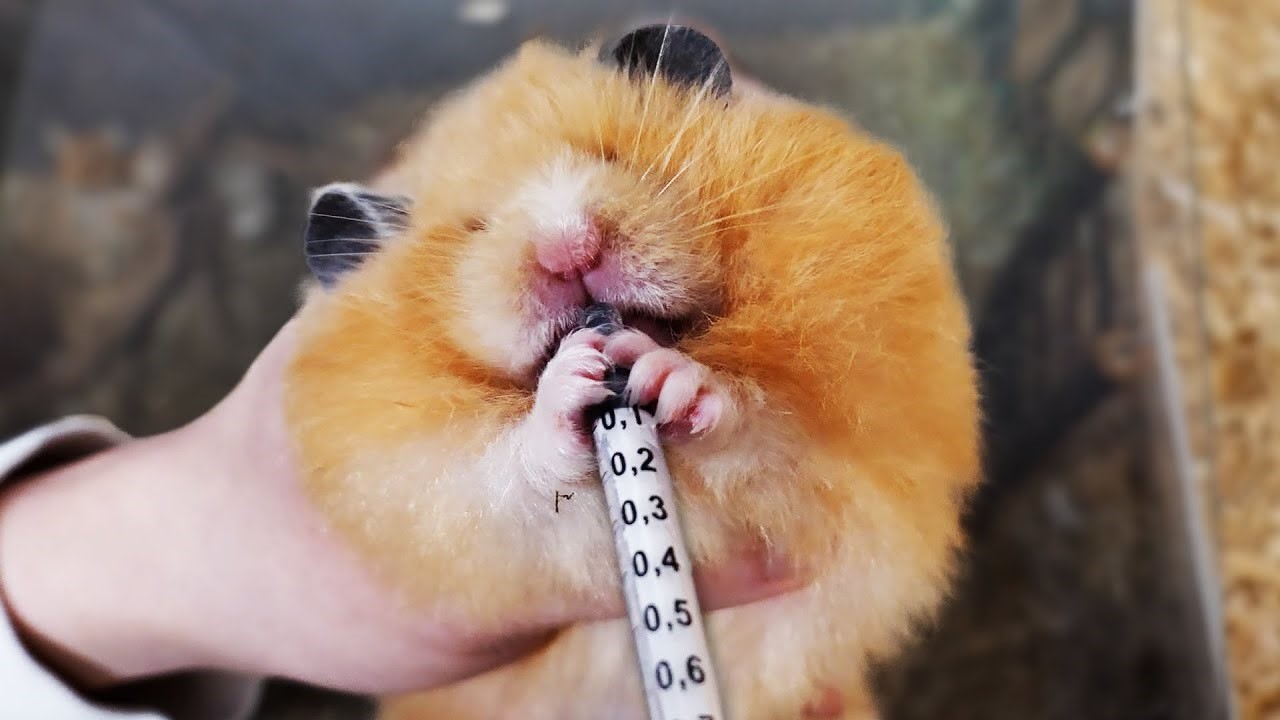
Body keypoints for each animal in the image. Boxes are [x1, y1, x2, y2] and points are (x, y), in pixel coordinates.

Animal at [284, 24, 982, 720]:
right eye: (472, 227)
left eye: (613, 156)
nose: (569, 249)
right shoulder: (429, 493)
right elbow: (504, 471)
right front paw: (573, 379)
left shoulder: (842, 414)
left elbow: (763, 419)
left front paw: (666, 376)